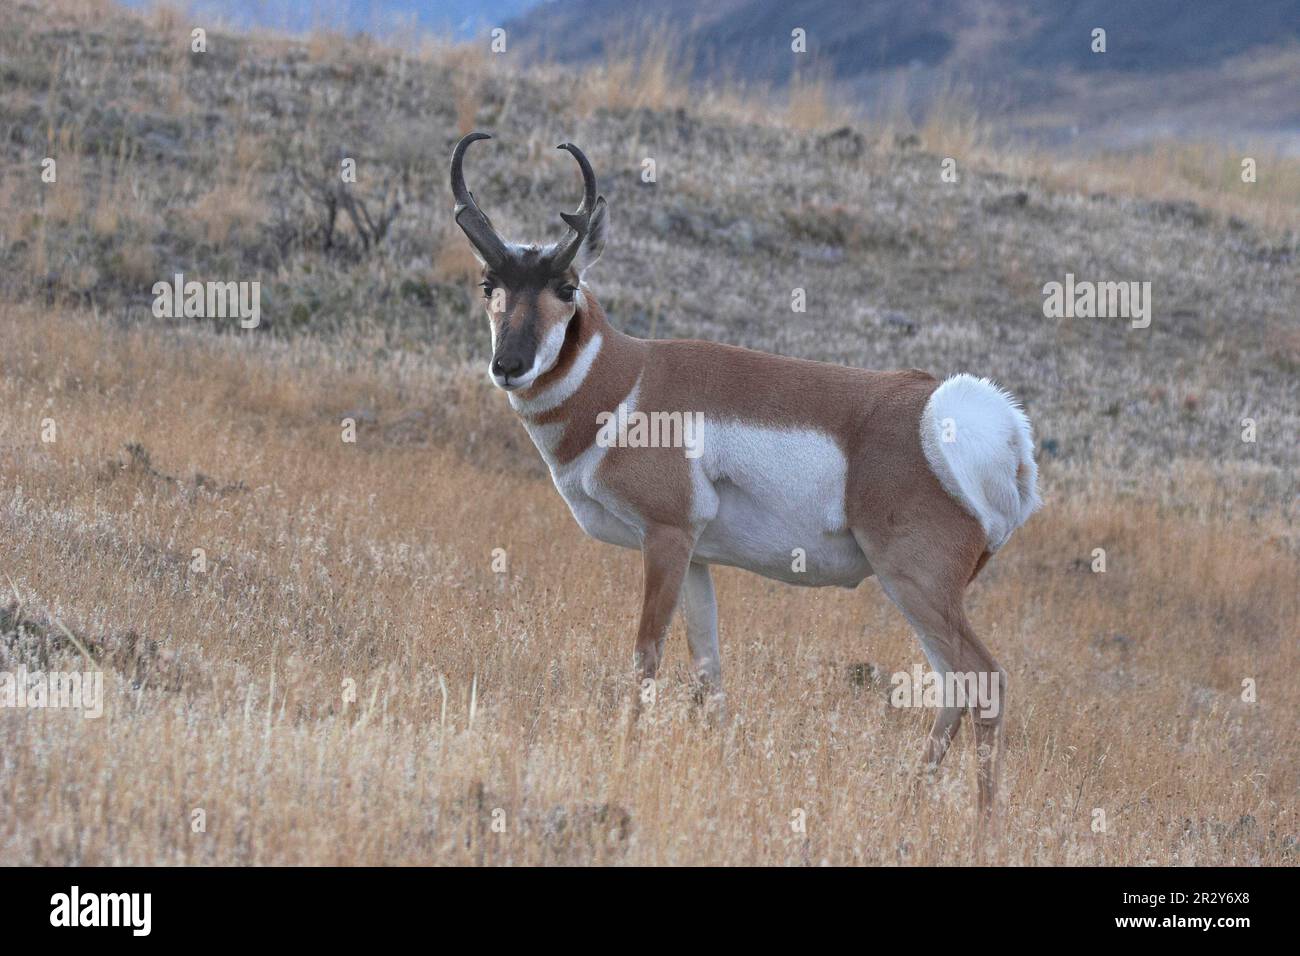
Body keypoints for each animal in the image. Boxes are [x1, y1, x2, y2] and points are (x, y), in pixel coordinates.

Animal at [450, 132, 1041, 818]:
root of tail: (970, 421)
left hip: (915, 583)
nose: (509, 365)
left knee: (985, 679)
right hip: (918, 593)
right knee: (953, 685)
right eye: (489, 281)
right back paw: (906, 803)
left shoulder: (666, 537)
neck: (628, 382)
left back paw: (981, 824)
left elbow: (646, 655)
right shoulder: (698, 557)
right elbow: (710, 670)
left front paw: (625, 758)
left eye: (567, 287)